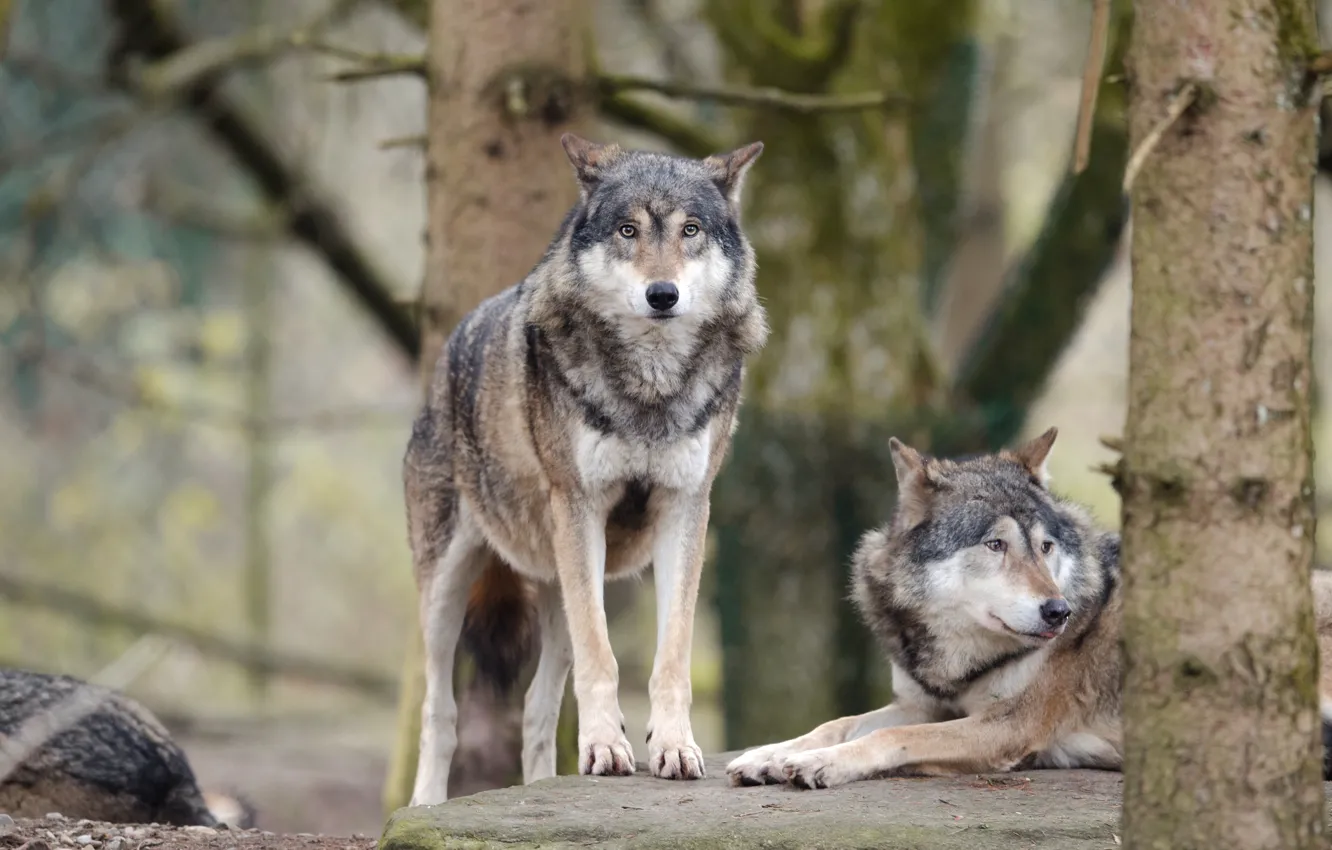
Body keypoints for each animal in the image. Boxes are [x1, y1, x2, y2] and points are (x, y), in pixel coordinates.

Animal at [403, 133, 768, 805]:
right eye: (628, 230)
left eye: (691, 230)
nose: (662, 294)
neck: (650, 387)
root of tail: (446, 359)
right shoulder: (580, 506)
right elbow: (604, 660)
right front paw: (604, 748)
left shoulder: (686, 509)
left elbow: (672, 657)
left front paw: (673, 747)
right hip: (448, 592)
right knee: (440, 715)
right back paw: (423, 807)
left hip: (561, 588)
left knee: (536, 713)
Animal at [727, 428, 1332, 789]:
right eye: (996, 545)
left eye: (1044, 546)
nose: (1058, 612)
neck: (959, 659)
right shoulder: (924, 704)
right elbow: (838, 723)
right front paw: (773, 755)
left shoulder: (1006, 727)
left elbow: (889, 738)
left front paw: (818, 765)